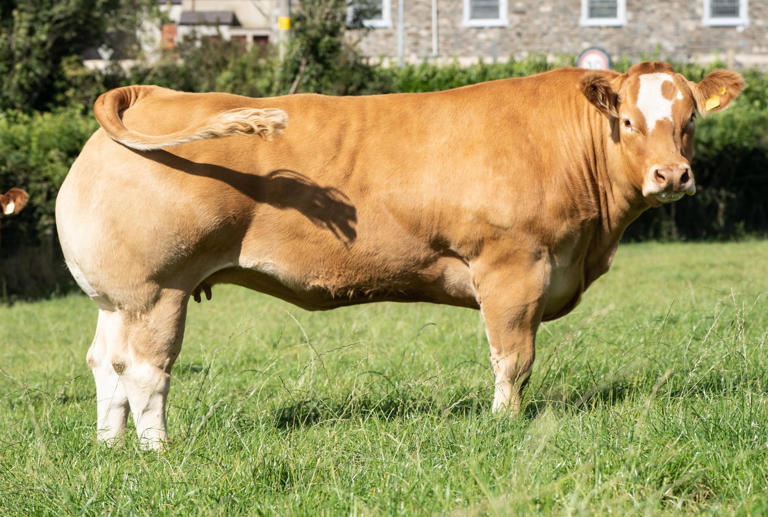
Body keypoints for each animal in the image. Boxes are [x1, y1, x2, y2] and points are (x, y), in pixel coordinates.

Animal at [55, 62, 744, 449]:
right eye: (627, 121)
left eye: (689, 120)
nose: (671, 175)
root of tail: (149, 93)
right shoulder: (513, 268)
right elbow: (512, 361)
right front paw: (504, 426)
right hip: (156, 291)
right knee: (145, 371)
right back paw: (158, 451)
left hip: (115, 296)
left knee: (104, 364)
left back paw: (110, 447)